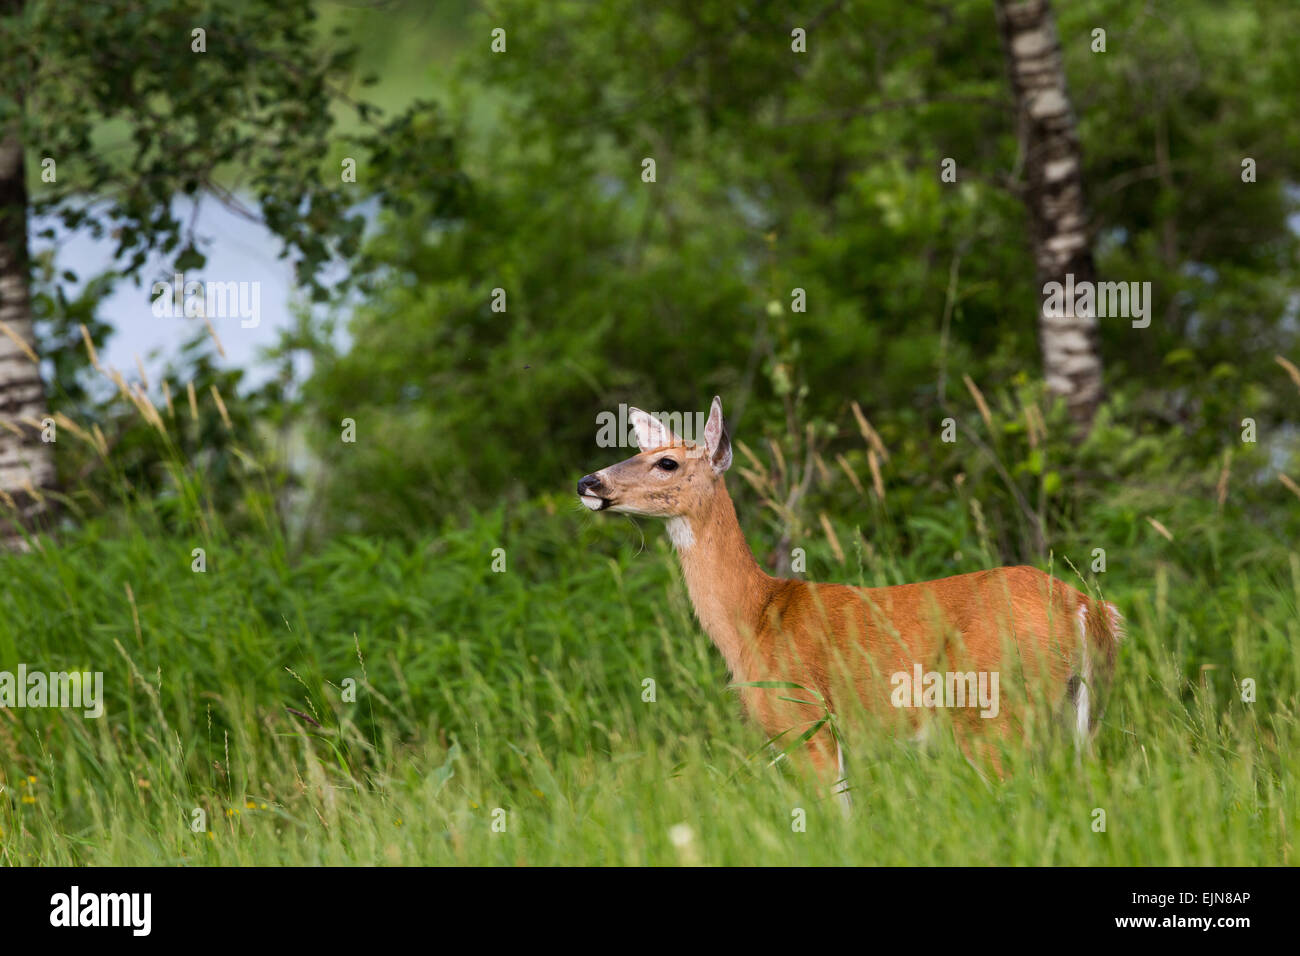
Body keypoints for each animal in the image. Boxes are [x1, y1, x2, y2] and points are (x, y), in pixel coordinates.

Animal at [577, 396, 1122, 806]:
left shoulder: (802, 718)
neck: (755, 618)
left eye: (666, 462)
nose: (588, 482)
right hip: (1077, 712)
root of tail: (1084, 607)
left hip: (991, 710)